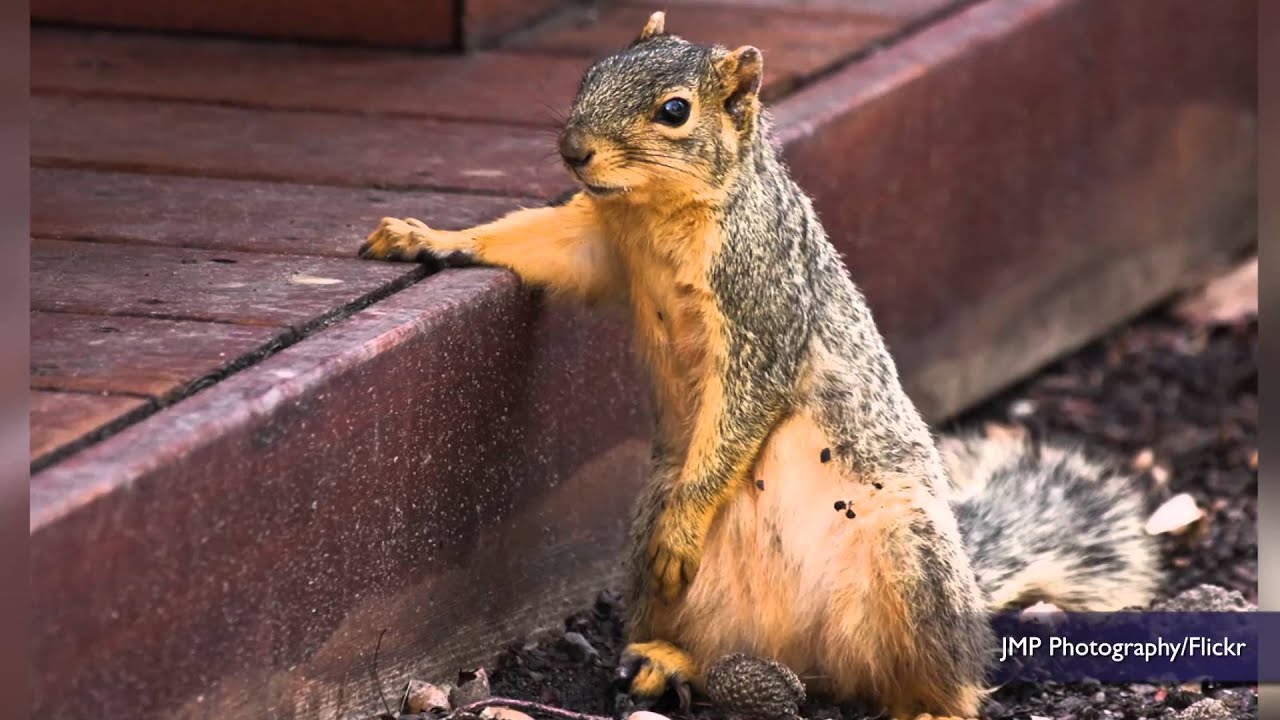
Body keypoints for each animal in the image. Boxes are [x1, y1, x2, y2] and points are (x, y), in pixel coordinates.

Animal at [358, 12, 1161, 719]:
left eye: (674, 111)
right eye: (591, 72)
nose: (573, 149)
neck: (658, 214)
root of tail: (811, 650)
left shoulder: (761, 302)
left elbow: (750, 396)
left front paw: (688, 520)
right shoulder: (600, 242)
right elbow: (534, 242)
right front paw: (429, 237)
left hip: (915, 563)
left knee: (947, 674)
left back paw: (936, 706)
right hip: (658, 550)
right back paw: (665, 661)